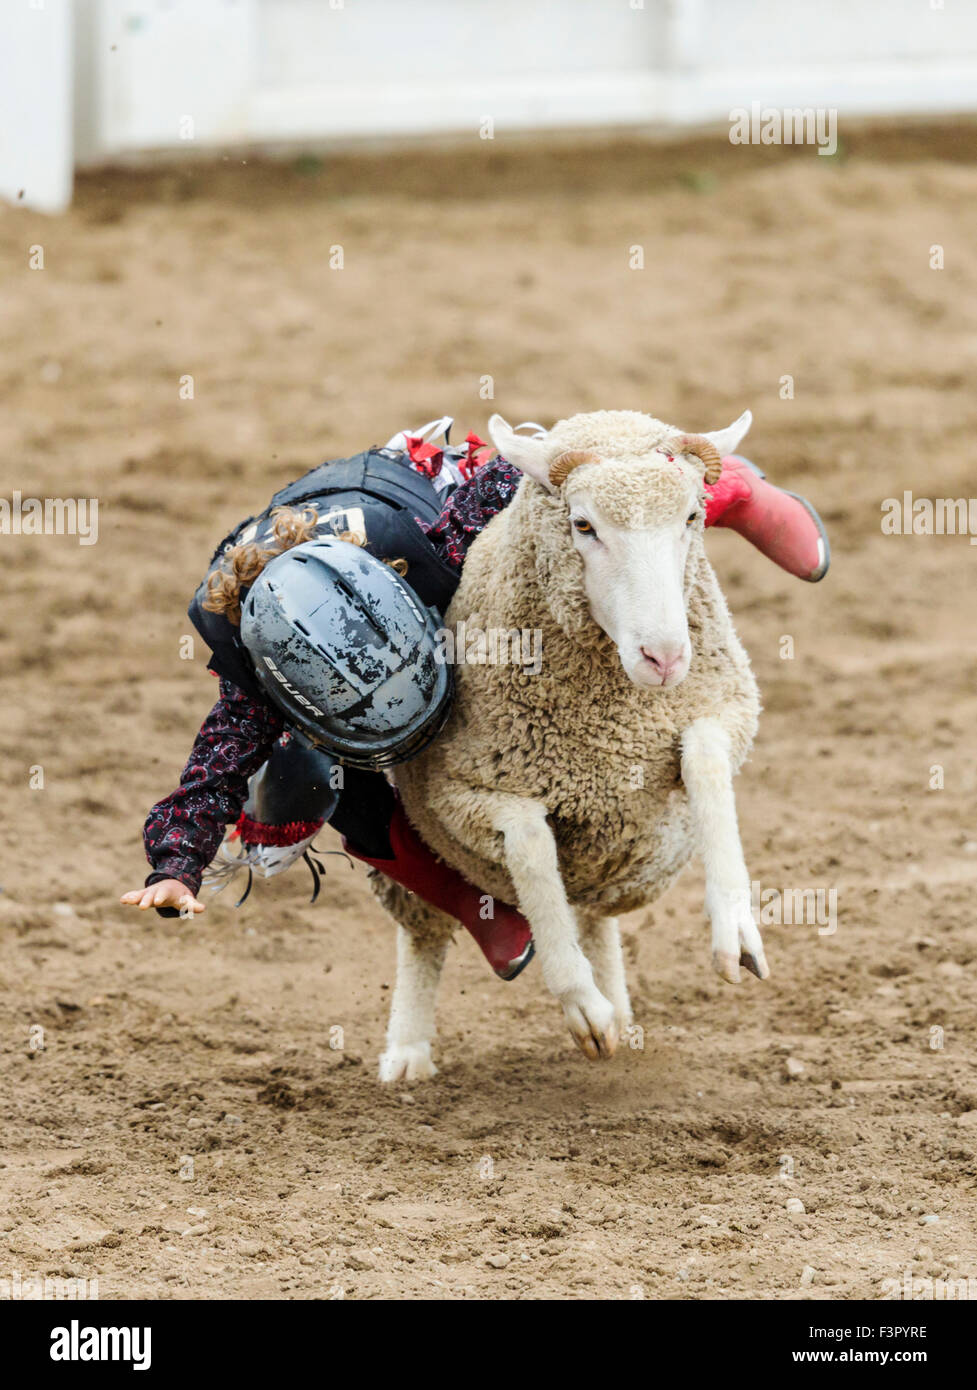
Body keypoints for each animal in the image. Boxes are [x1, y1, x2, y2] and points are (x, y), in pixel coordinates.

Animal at [370, 408, 768, 1082]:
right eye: (583, 525)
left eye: (693, 517)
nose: (665, 656)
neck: (614, 720)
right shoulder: (463, 792)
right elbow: (530, 848)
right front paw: (583, 1004)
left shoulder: (724, 707)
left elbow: (707, 765)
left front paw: (734, 928)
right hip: (428, 842)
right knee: (425, 932)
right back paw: (408, 1050)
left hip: (610, 850)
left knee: (592, 913)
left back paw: (621, 1012)